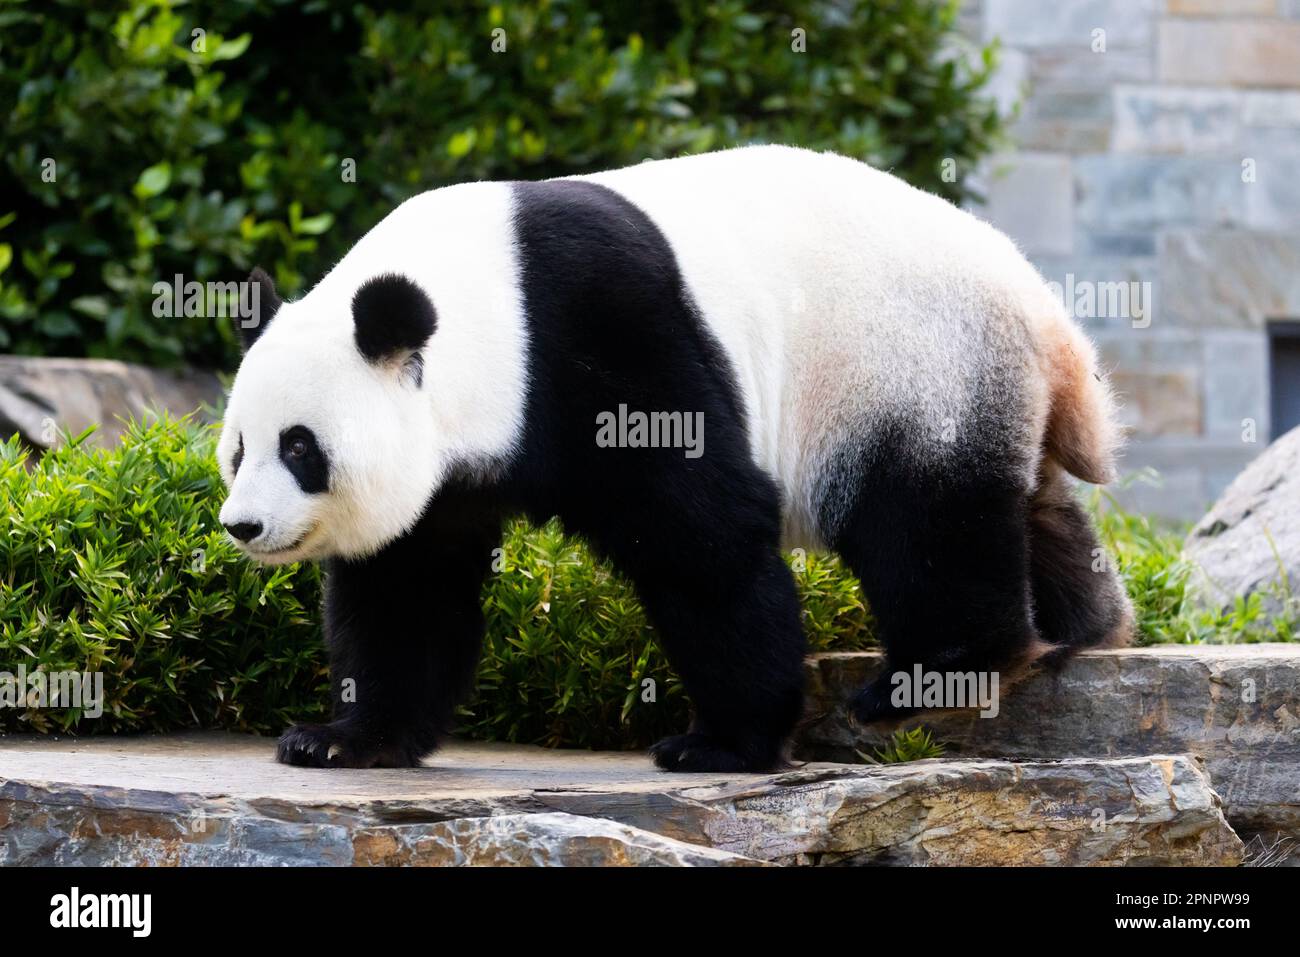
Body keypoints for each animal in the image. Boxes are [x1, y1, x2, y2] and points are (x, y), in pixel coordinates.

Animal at [217, 145, 1132, 772]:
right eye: (236, 450)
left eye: (300, 447)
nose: (242, 526)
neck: (489, 301)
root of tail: (1040, 306)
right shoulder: (450, 463)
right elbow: (407, 580)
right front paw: (342, 737)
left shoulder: (601, 328)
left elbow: (701, 532)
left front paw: (725, 741)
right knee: (1027, 501)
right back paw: (1084, 626)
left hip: (902, 364)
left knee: (924, 520)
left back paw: (929, 678)